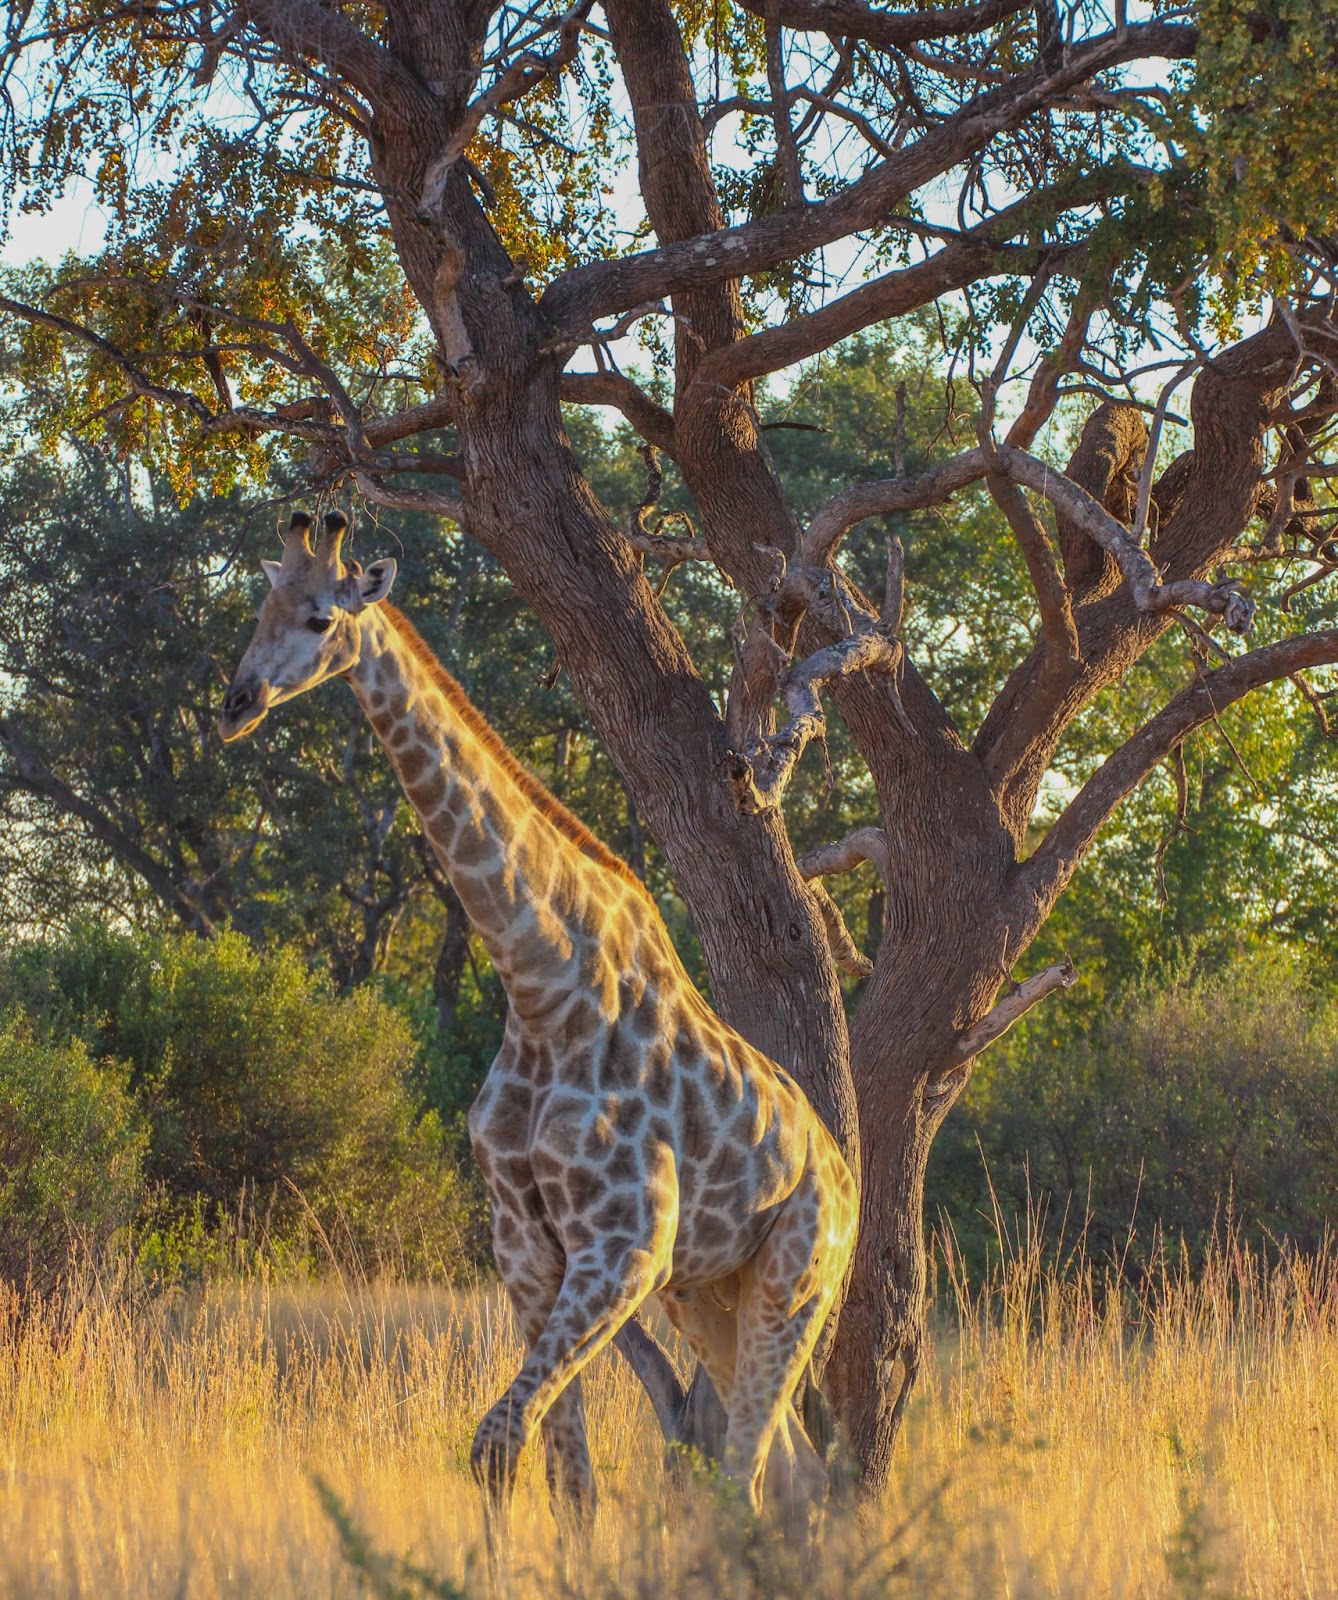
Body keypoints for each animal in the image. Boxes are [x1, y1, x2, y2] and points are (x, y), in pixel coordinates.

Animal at [219, 511, 858, 1527]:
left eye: (321, 618)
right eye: (259, 608)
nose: (237, 701)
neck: (542, 987)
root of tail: (845, 1177)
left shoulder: (623, 1250)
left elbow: (500, 1443)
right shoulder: (526, 1251)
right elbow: (558, 1475)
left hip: (794, 1283)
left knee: (746, 1473)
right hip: (710, 1296)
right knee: (783, 1475)